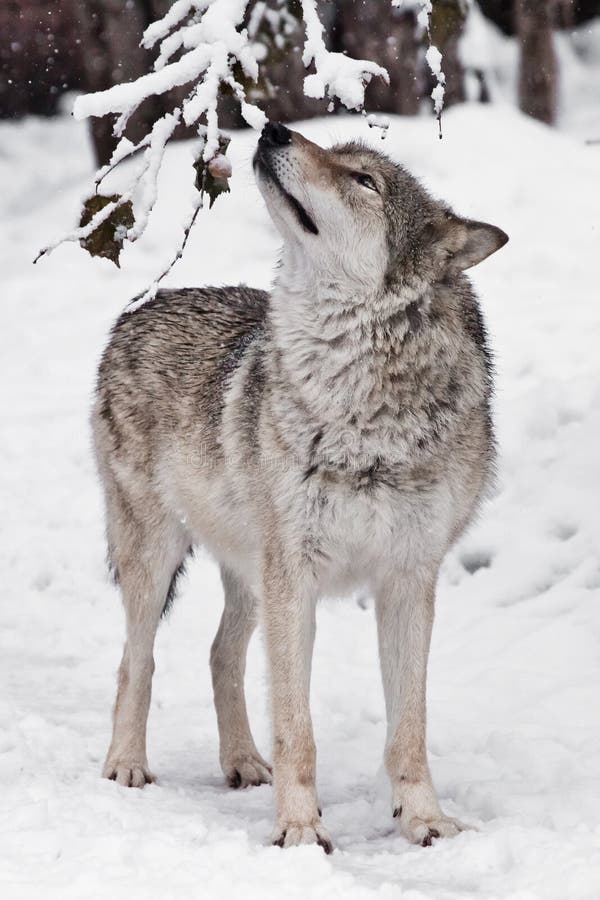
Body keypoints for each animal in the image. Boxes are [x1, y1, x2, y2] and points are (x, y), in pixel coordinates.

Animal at [92, 122, 507, 853]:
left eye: (364, 179)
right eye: (334, 152)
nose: (273, 129)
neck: (364, 406)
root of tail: (139, 309)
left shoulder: (408, 579)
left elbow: (409, 727)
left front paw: (423, 820)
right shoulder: (297, 576)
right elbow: (296, 726)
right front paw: (298, 831)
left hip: (250, 575)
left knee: (219, 654)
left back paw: (240, 763)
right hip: (158, 557)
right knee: (135, 662)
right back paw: (127, 765)